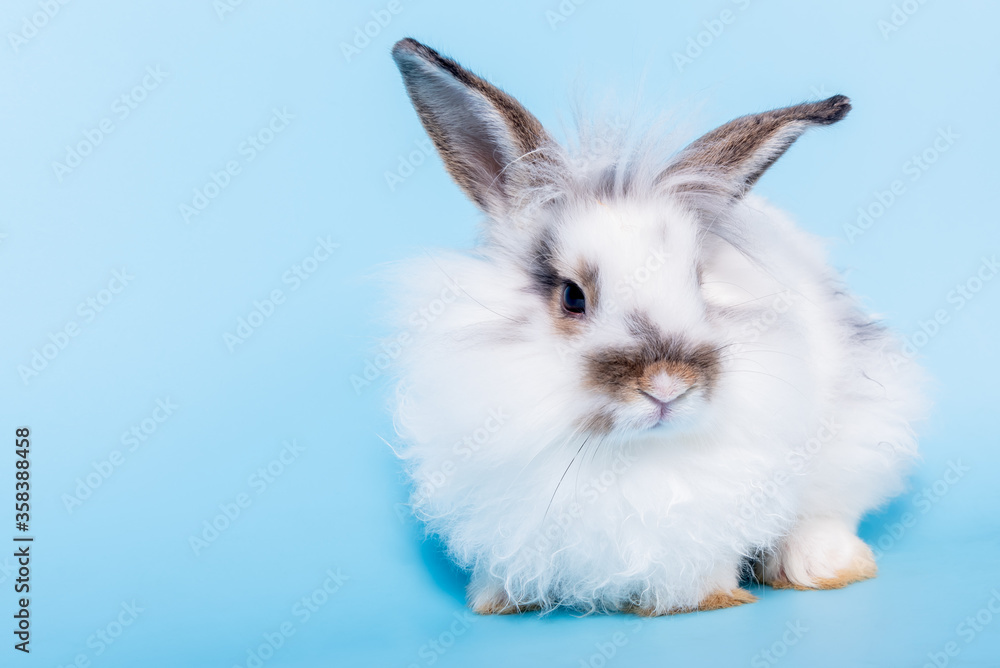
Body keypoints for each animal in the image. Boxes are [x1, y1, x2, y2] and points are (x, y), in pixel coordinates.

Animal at [386, 37, 927, 616]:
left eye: (699, 282)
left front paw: (707, 595)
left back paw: (823, 565)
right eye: (572, 297)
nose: (666, 387)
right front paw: (497, 600)